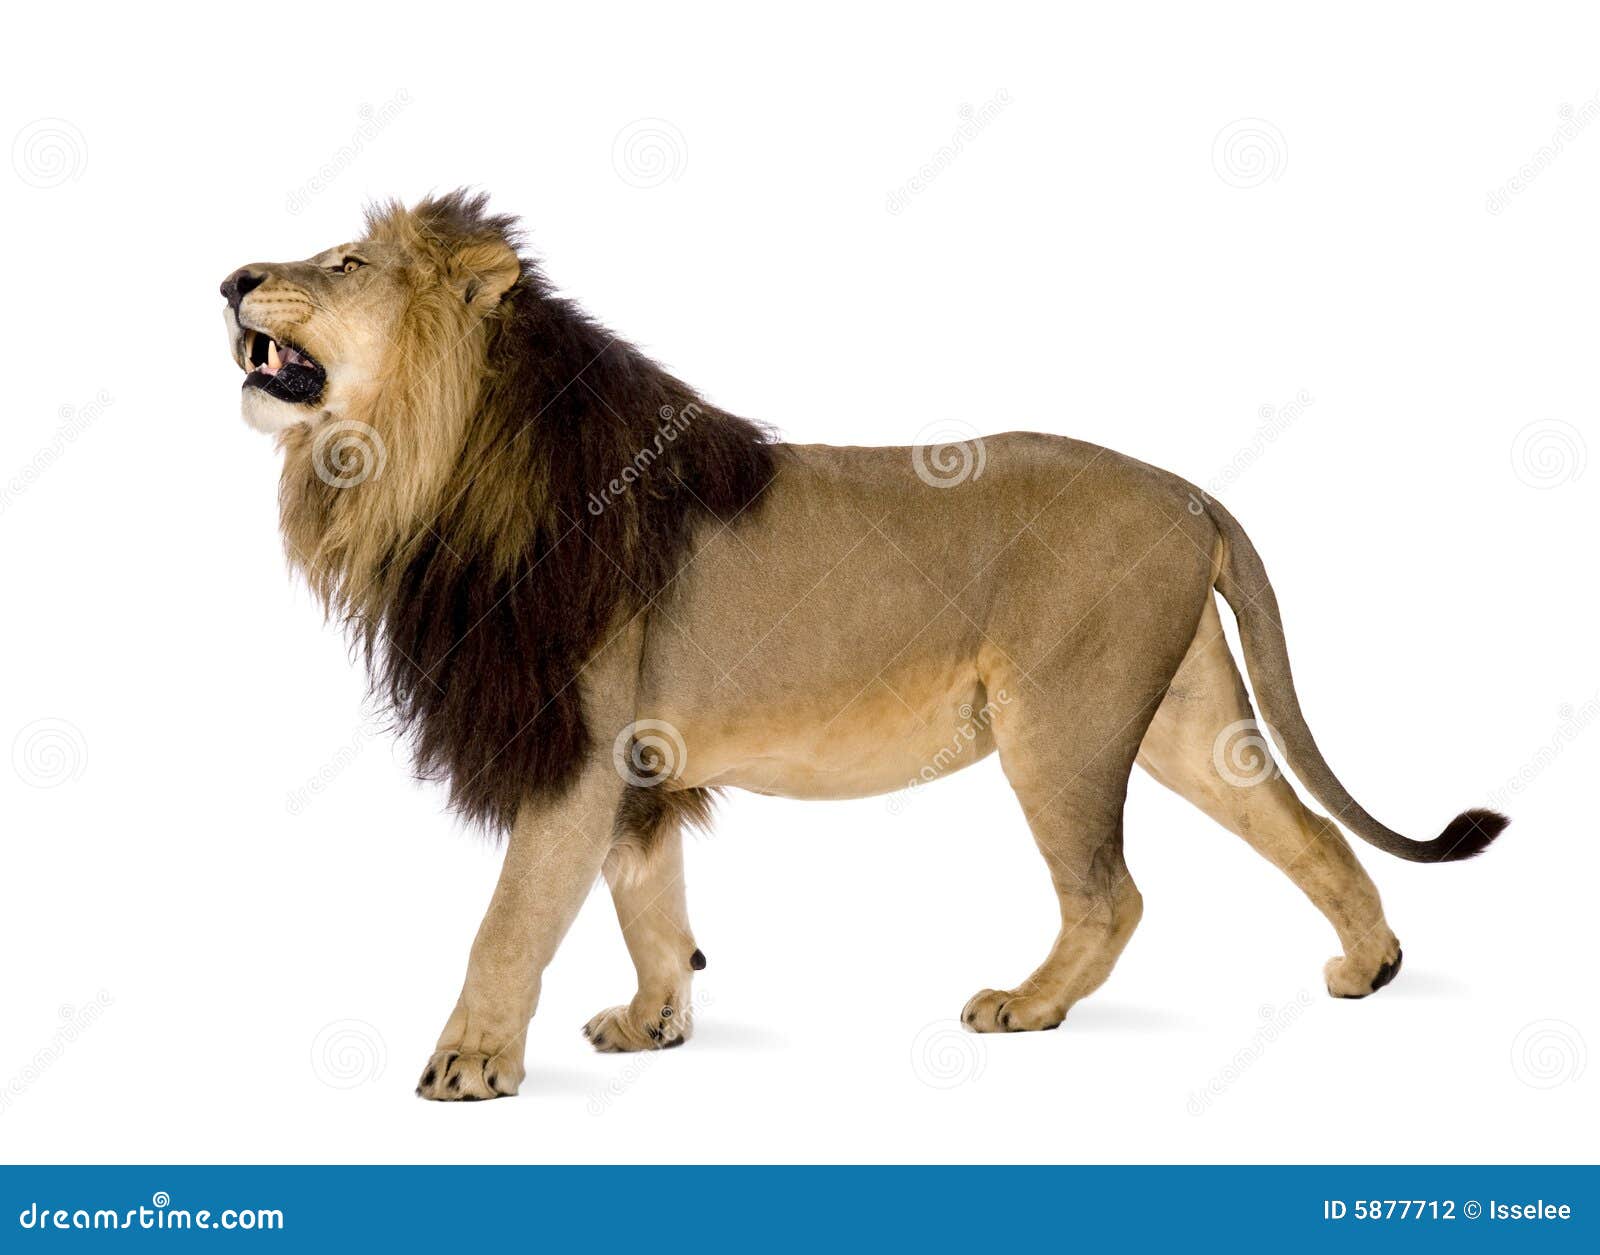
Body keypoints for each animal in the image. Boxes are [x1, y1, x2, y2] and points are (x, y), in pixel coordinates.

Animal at [220, 191, 1506, 1100]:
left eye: (342, 264)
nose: (230, 277)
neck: (417, 467)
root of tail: (1190, 492)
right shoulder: (637, 763)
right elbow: (650, 901)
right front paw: (654, 1021)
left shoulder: (575, 746)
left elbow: (511, 917)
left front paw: (470, 1065)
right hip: (1182, 718)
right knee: (1301, 827)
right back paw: (1369, 964)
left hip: (1060, 726)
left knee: (1113, 892)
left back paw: (1028, 1005)